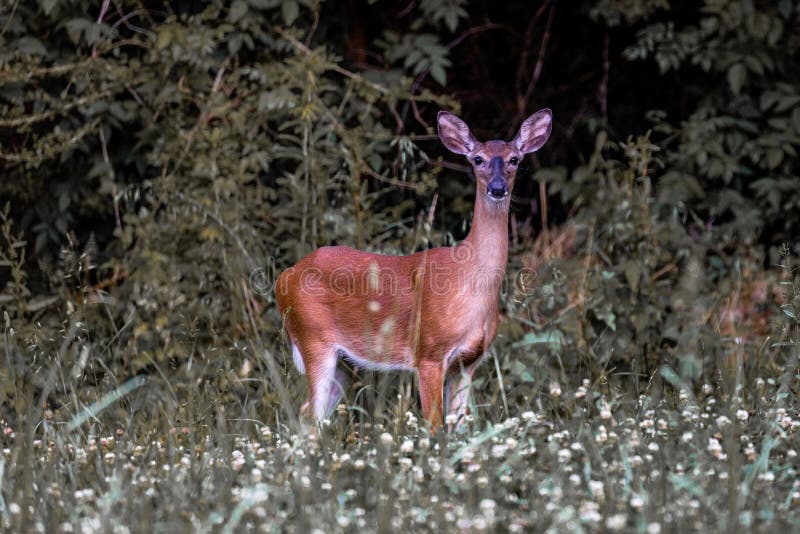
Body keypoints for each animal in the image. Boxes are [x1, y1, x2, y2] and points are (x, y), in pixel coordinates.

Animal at [276, 109, 553, 430]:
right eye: (477, 159)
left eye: (515, 159)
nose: (497, 188)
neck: (469, 279)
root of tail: (284, 276)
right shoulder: (428, 353)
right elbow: (435, 427)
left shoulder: (468, 363)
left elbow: (458, 428)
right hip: (313, 337)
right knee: (309, 414)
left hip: (345, 363)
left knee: (309, 414)